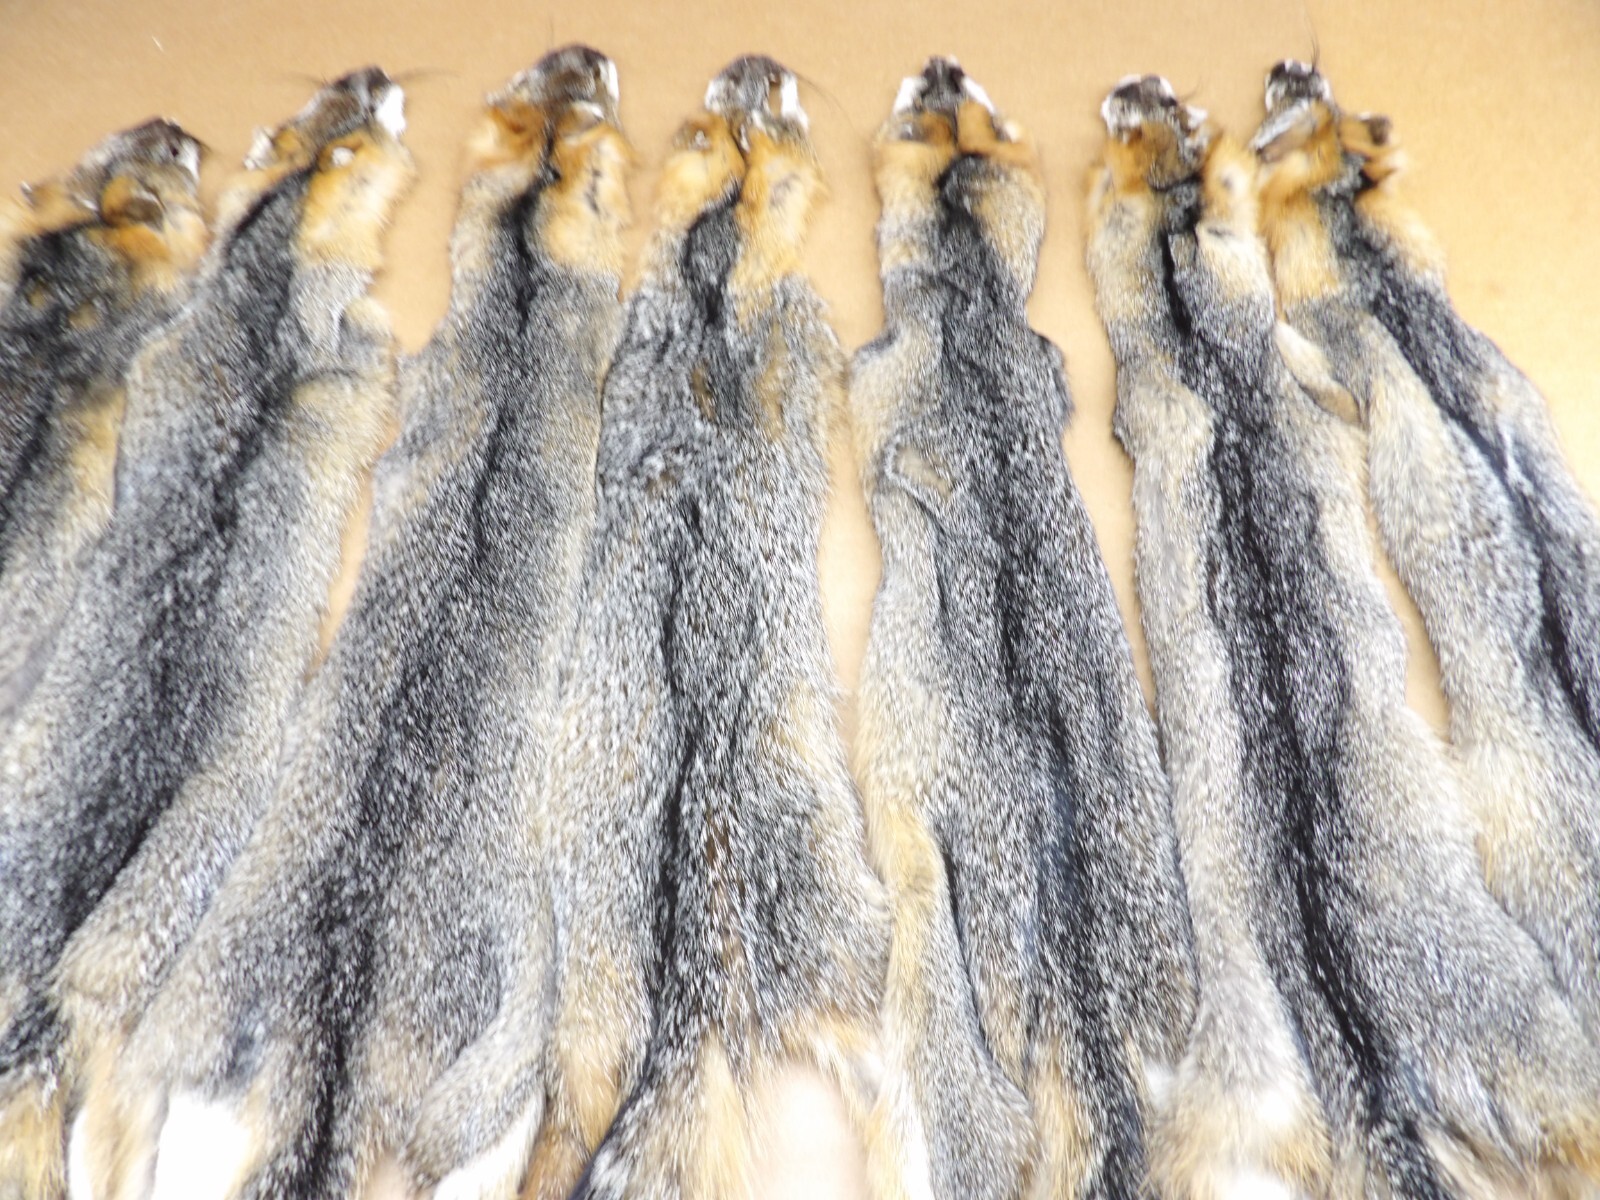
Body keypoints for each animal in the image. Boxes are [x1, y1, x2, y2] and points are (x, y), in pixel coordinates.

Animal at [524, 54, 890, 1200]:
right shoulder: (811, 333)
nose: (756, 62)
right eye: (776, 104)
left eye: (734, 100)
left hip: (589, 1021)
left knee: (571, 1114)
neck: (707, 287)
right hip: (857, 970)